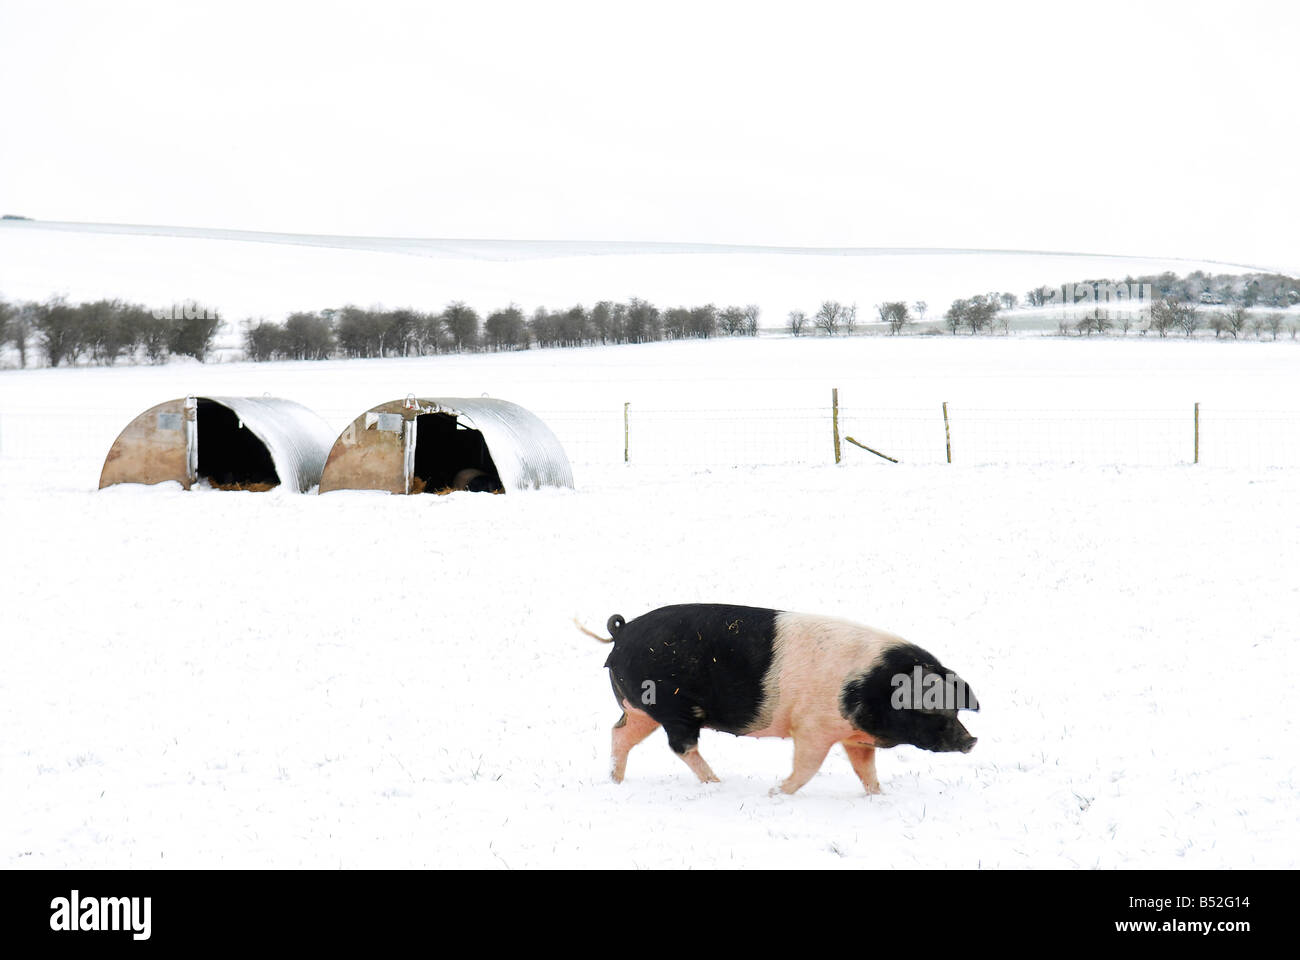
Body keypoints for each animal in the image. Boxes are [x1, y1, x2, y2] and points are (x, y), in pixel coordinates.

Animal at [579, 604, 978, 795]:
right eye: (936, 707)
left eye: (955, 706)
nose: (971, 739)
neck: (871, 687)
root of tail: (623, 632)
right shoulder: (812, 729)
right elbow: (807, 768)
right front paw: (774, 793)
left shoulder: (854, 738)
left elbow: (867, 771)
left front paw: (880, 797)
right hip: (672, 708)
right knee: (680, 746)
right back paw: (717, 785)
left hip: (641, 709)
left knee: (620, 735)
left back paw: (615, 782)